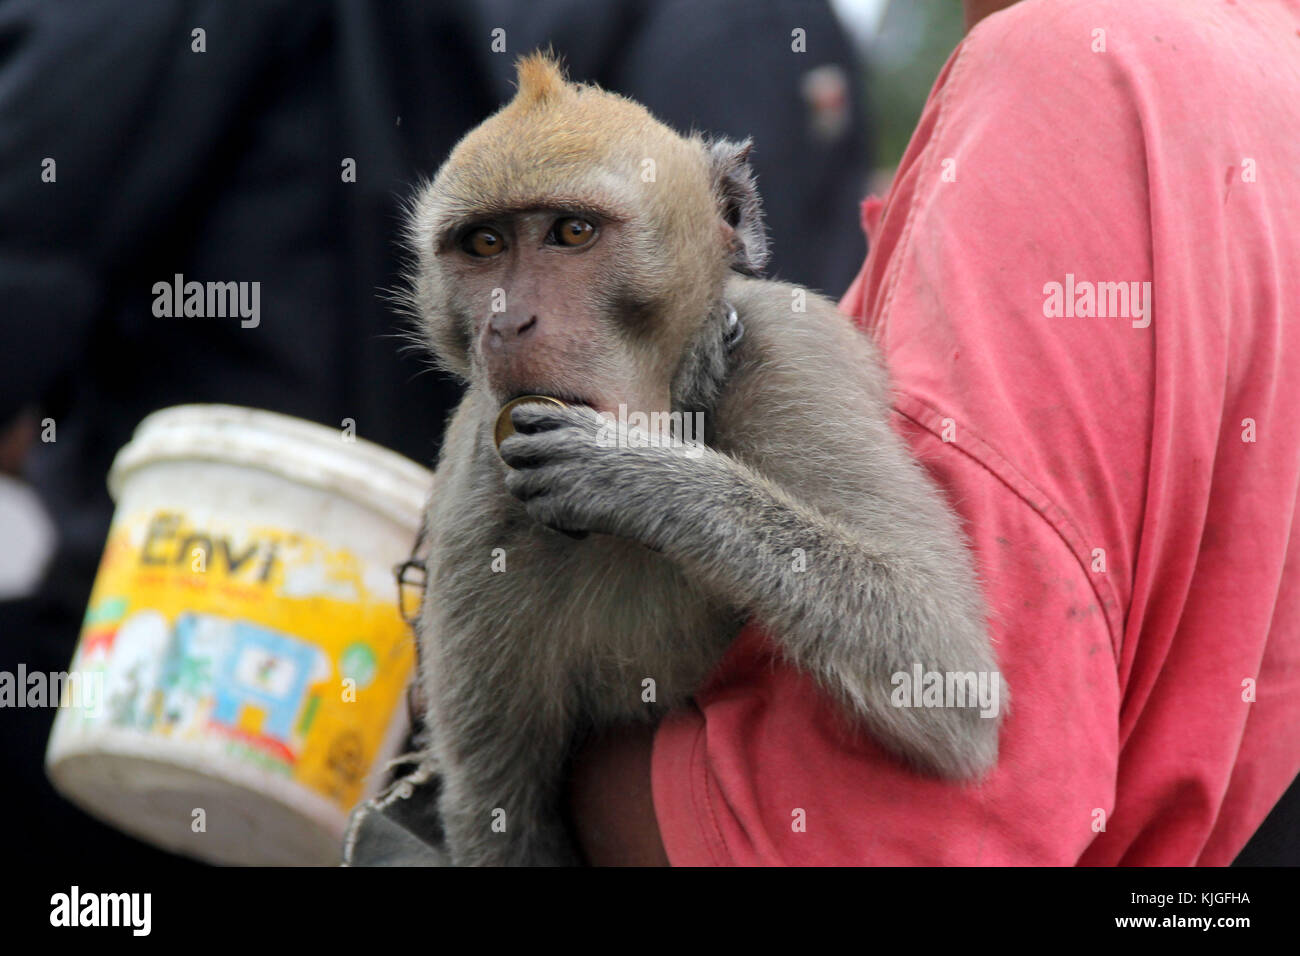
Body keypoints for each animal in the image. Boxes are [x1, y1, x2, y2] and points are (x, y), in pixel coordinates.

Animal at [400, 53, 1002, 866]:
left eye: (572, 232)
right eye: (485, 246)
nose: (507, 322)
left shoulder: (793, 356)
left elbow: (944, 666)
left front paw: (630, 474)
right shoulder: (475, 506)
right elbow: (501, 818)